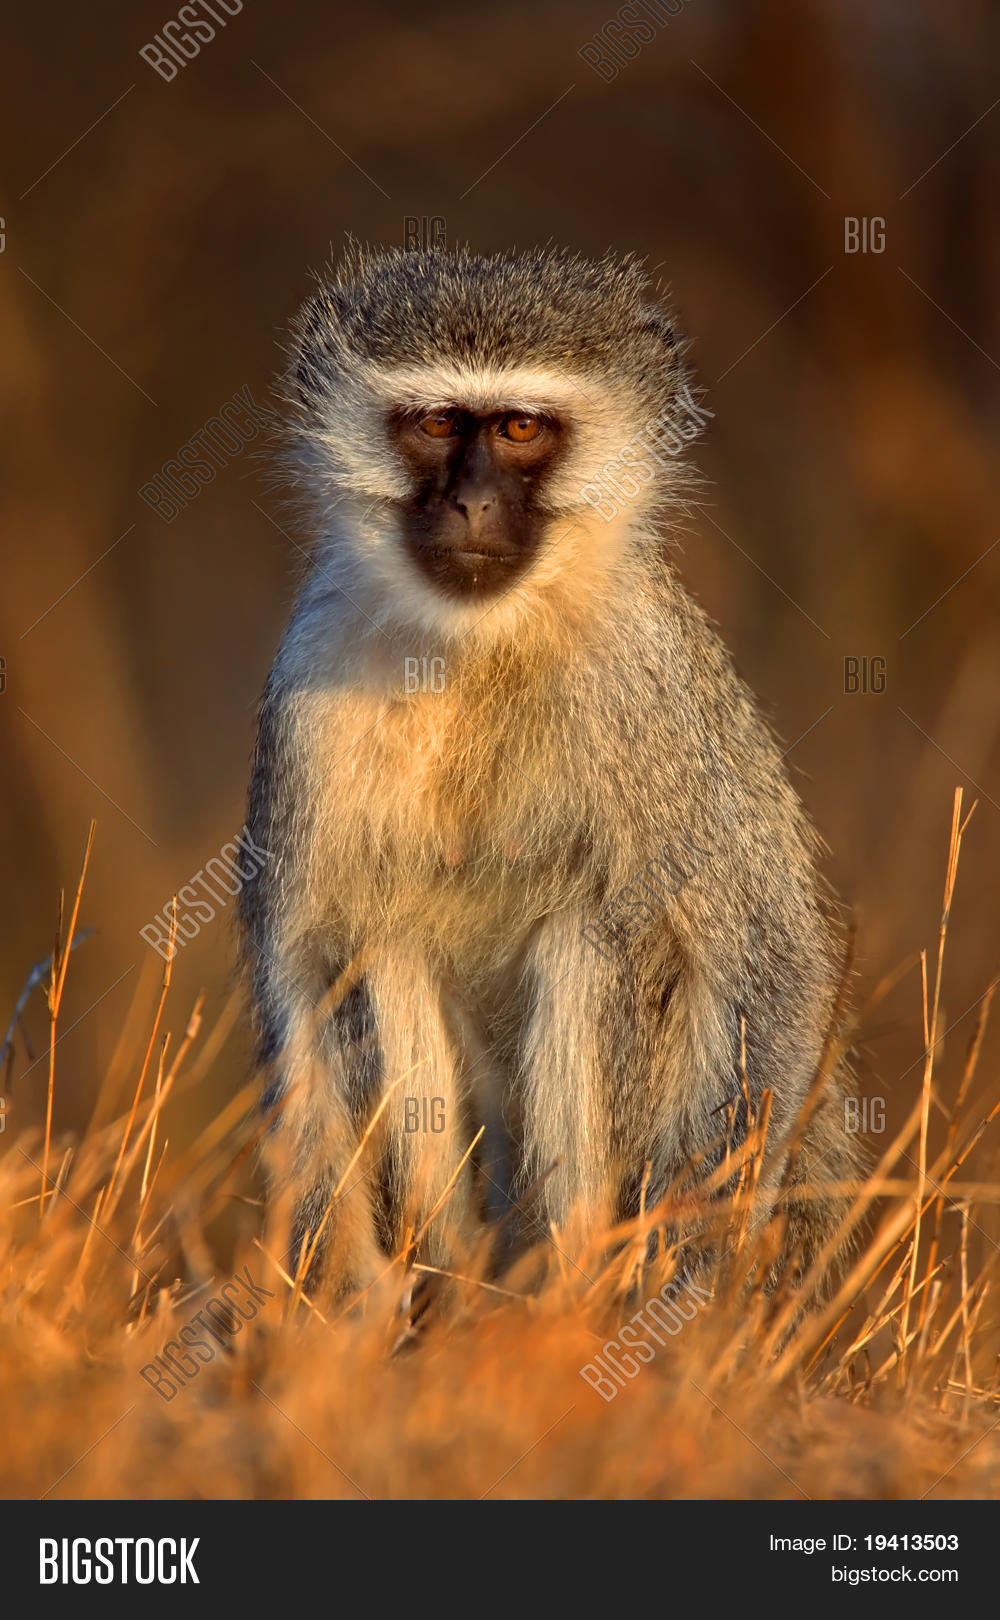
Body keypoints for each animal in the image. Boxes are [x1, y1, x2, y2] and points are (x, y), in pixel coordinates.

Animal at [237, 242, 860, 1298]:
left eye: (521, 427)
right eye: (438, 423)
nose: (472, 502)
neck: (480, 650)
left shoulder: (651, 686)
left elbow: (768, 962)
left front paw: (689, 1304)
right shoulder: (312, 690)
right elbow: (303, 966)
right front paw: (341, 1316)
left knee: (593, 929)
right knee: (381, 943)